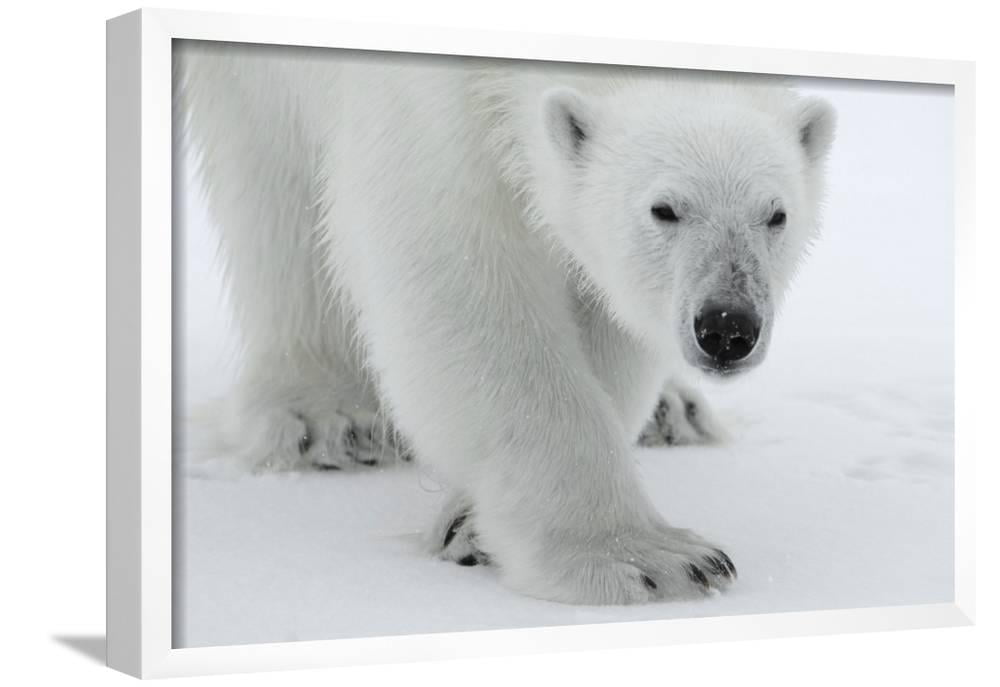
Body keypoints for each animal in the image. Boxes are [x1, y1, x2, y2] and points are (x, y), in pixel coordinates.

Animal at [175, 41, 835, 605]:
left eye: (776, 215)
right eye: (664, 209)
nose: (727, 327)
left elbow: (601, 301)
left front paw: (470, 525)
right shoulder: (421, 103)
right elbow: (455, 269)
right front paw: (645, 560)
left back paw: (673, 412)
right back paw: (328, 416)